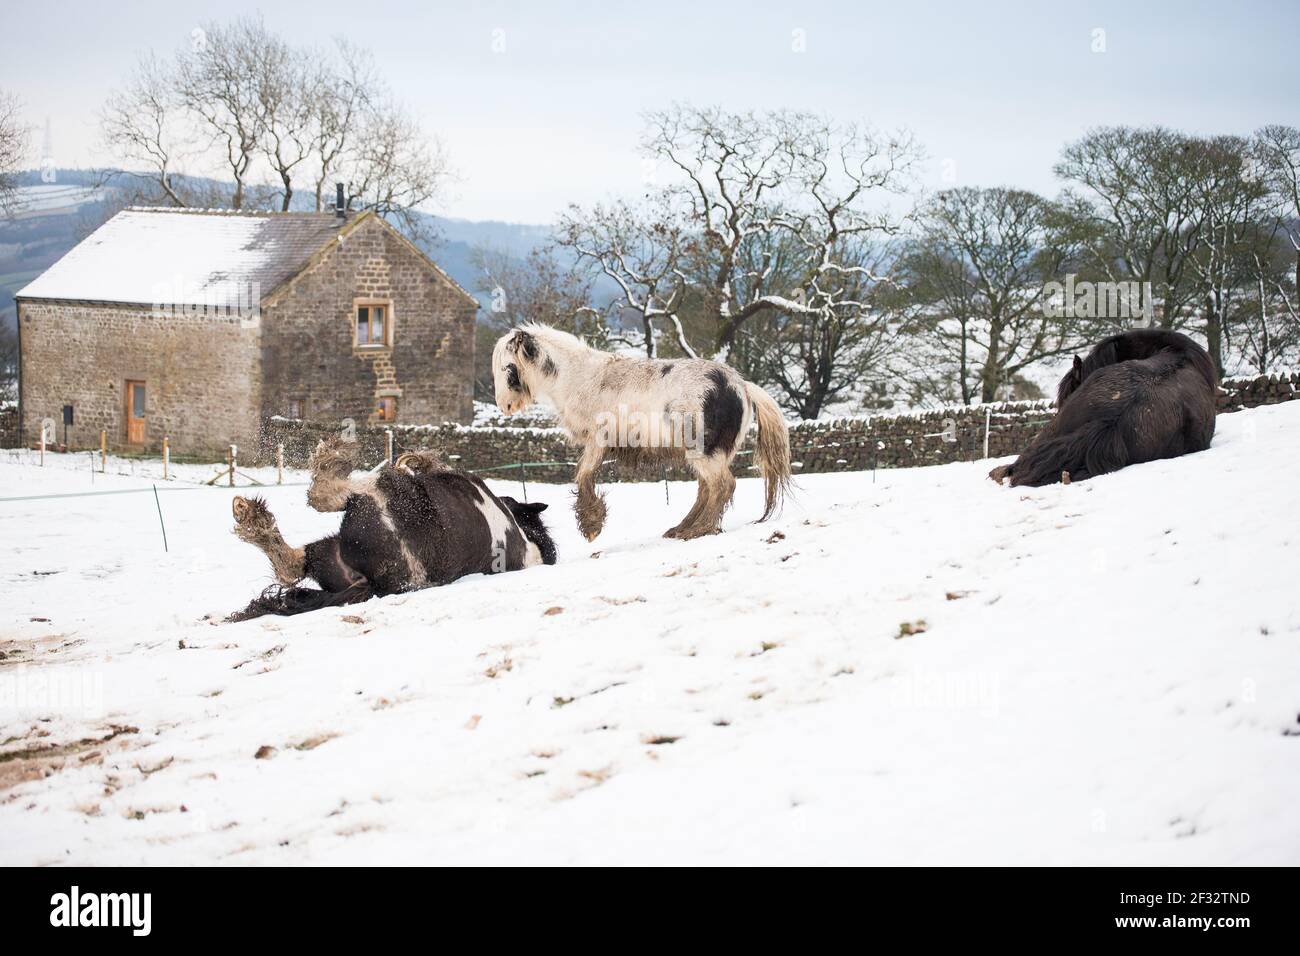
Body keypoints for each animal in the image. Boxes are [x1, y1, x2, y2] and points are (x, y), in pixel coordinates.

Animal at [227, 439, 557, 621]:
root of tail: (375, 584)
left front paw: (413, 459)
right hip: (332, 553)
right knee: (290, 565)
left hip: (378, 495)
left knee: (328, 495)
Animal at [491, 324, 792, 541]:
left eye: (508, 368)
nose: (504, 406)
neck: (579, 378)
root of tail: (741, 386)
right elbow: (584, 475)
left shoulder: (597, 440)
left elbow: (584, 475)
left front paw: (591, 525)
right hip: (708, 455)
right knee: (707, 489)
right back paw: (681, 529)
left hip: (704, 453)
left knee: (723, 485)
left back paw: (696, 531)